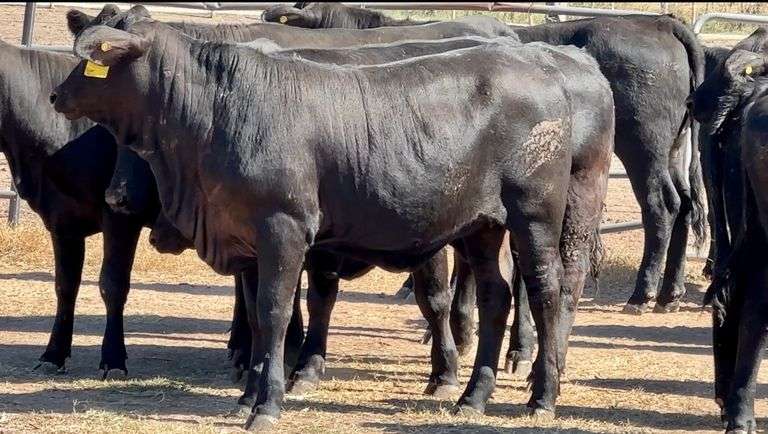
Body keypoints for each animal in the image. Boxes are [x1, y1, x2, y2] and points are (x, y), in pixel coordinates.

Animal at [51, 14, 613, 429]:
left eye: (93, 60)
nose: (57, 95)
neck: (216, 111)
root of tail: (543, 64)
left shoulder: (283, 229)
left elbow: (277, 314)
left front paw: (267, 404)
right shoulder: (247, 237)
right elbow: (256, 316)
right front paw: (247, 395)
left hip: (535, 214)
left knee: (547, 289)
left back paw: (541, 396)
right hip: (481, 225)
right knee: (495, 296)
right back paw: (473, 397)